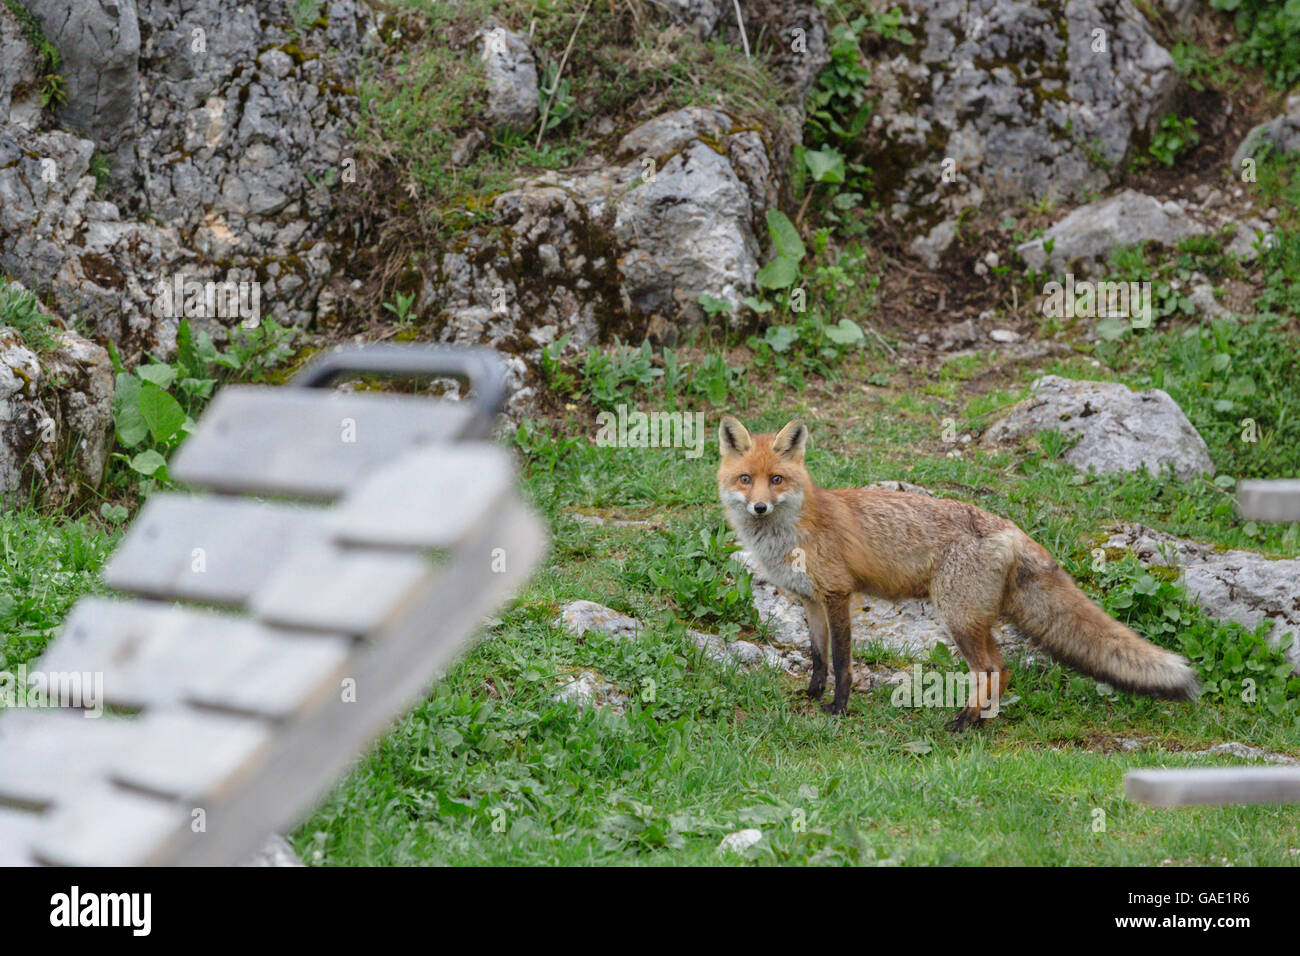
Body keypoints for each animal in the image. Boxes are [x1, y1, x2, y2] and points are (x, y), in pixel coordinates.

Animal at [716, 415, 1200, 729]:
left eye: (777, 480)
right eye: (746, 480)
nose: (759, 507)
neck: (791, 535)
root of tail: (1010, 528)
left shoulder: (837, 594)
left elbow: (841, 660)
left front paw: (838, 708)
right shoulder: (809, 599)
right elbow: (818, 656)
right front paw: (812, 694)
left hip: (958, 617)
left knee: (989, 669)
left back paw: (965, 722)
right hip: (974, 619)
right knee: (1003, 668)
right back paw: (981, 719)